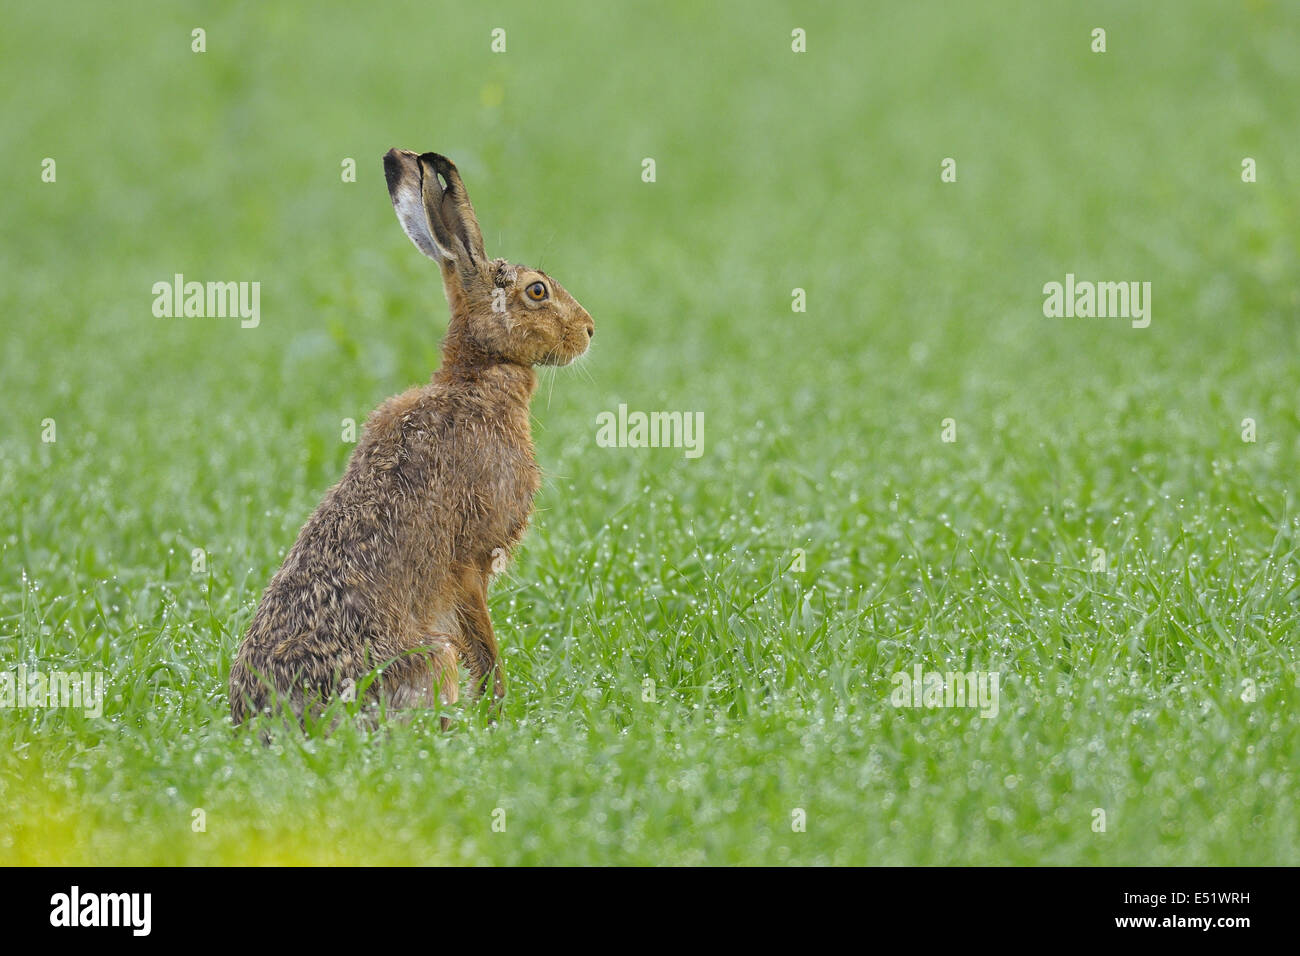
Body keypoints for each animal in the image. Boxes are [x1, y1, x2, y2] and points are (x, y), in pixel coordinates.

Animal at [229, 149, 594, 729]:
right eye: (537, 290)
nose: (589, 330)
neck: (475, 376)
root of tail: (274, 722)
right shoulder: (470, 563)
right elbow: (483, 646)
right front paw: (496, 710)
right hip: (432, 657)